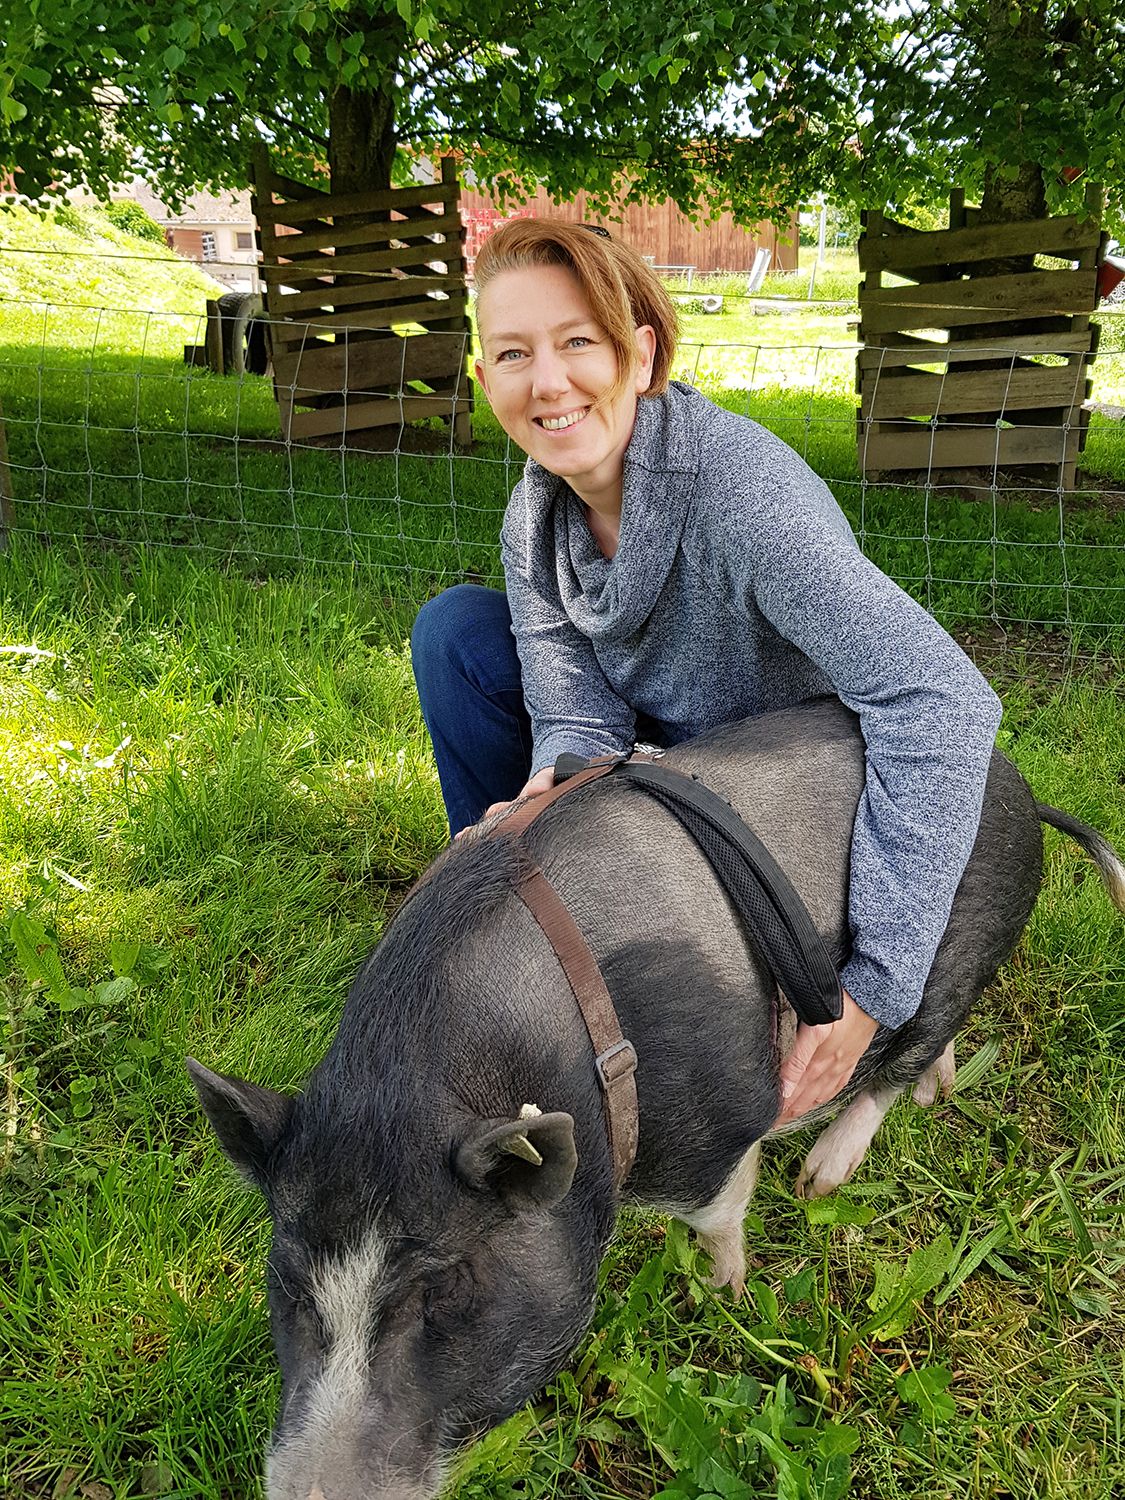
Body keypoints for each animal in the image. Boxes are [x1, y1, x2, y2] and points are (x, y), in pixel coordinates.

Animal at [187, 697, 1125, 1500]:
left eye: (446, 1290)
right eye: (287, 1282)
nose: (314, 1489)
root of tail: (1019, 788)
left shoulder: (721, 1115)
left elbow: (719, 1208)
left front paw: (723, 1294)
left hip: (964, 940)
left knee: (900, 1057)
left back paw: (820, 1176)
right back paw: (933, 1095)